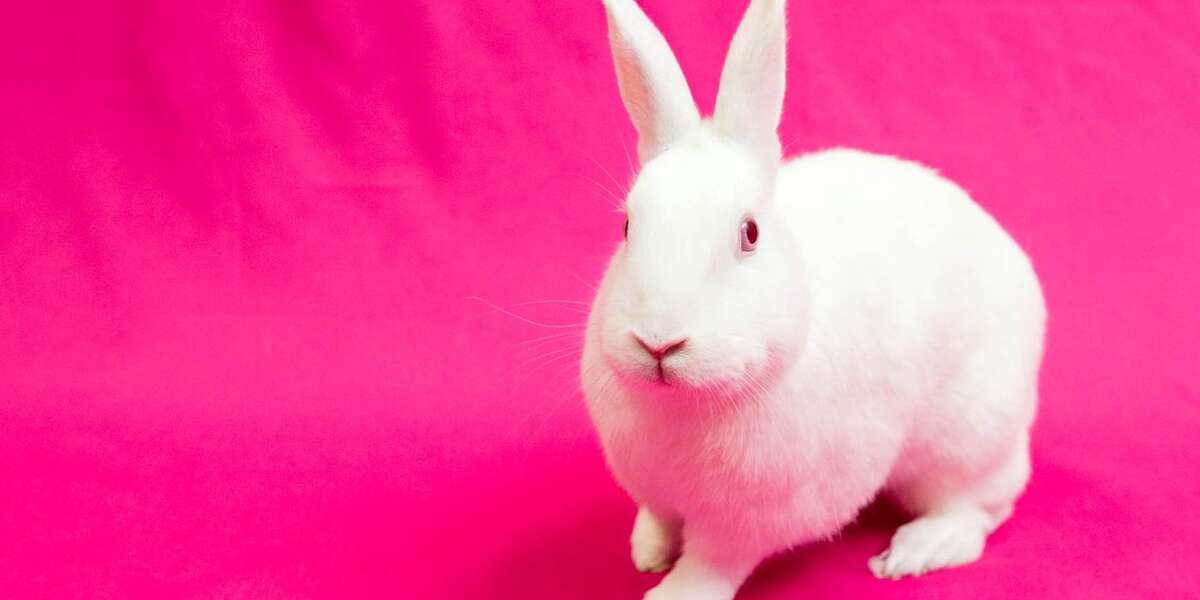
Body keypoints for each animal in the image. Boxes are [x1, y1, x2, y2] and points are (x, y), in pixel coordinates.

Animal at [579, 0, 1046, 598]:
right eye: (627, 228)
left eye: (750, 233)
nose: (658, 342)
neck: (684, 404)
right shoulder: (655, 490)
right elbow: (659, 518)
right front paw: (646, 553)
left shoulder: (746, 521)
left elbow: (712, 561)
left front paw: (673, 591)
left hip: (968, 436)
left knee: (978, 509)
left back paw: (915, 551)